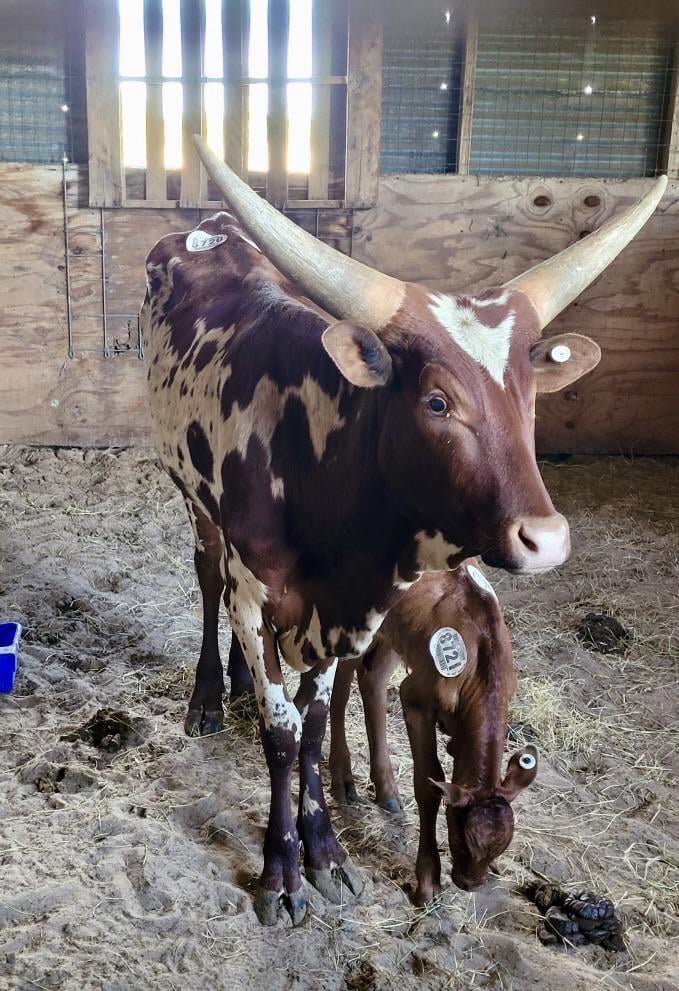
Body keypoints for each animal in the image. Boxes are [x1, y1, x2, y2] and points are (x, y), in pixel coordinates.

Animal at [328, 560, 536, 902]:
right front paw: (428, 880)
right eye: (460, 840)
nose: (470, 884)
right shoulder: (417, 699)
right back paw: (342, 778)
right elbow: (428, 784)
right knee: (342, 680)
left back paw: (386, 791)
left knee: (372, 677)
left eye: (499, 850)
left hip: (393, 635)